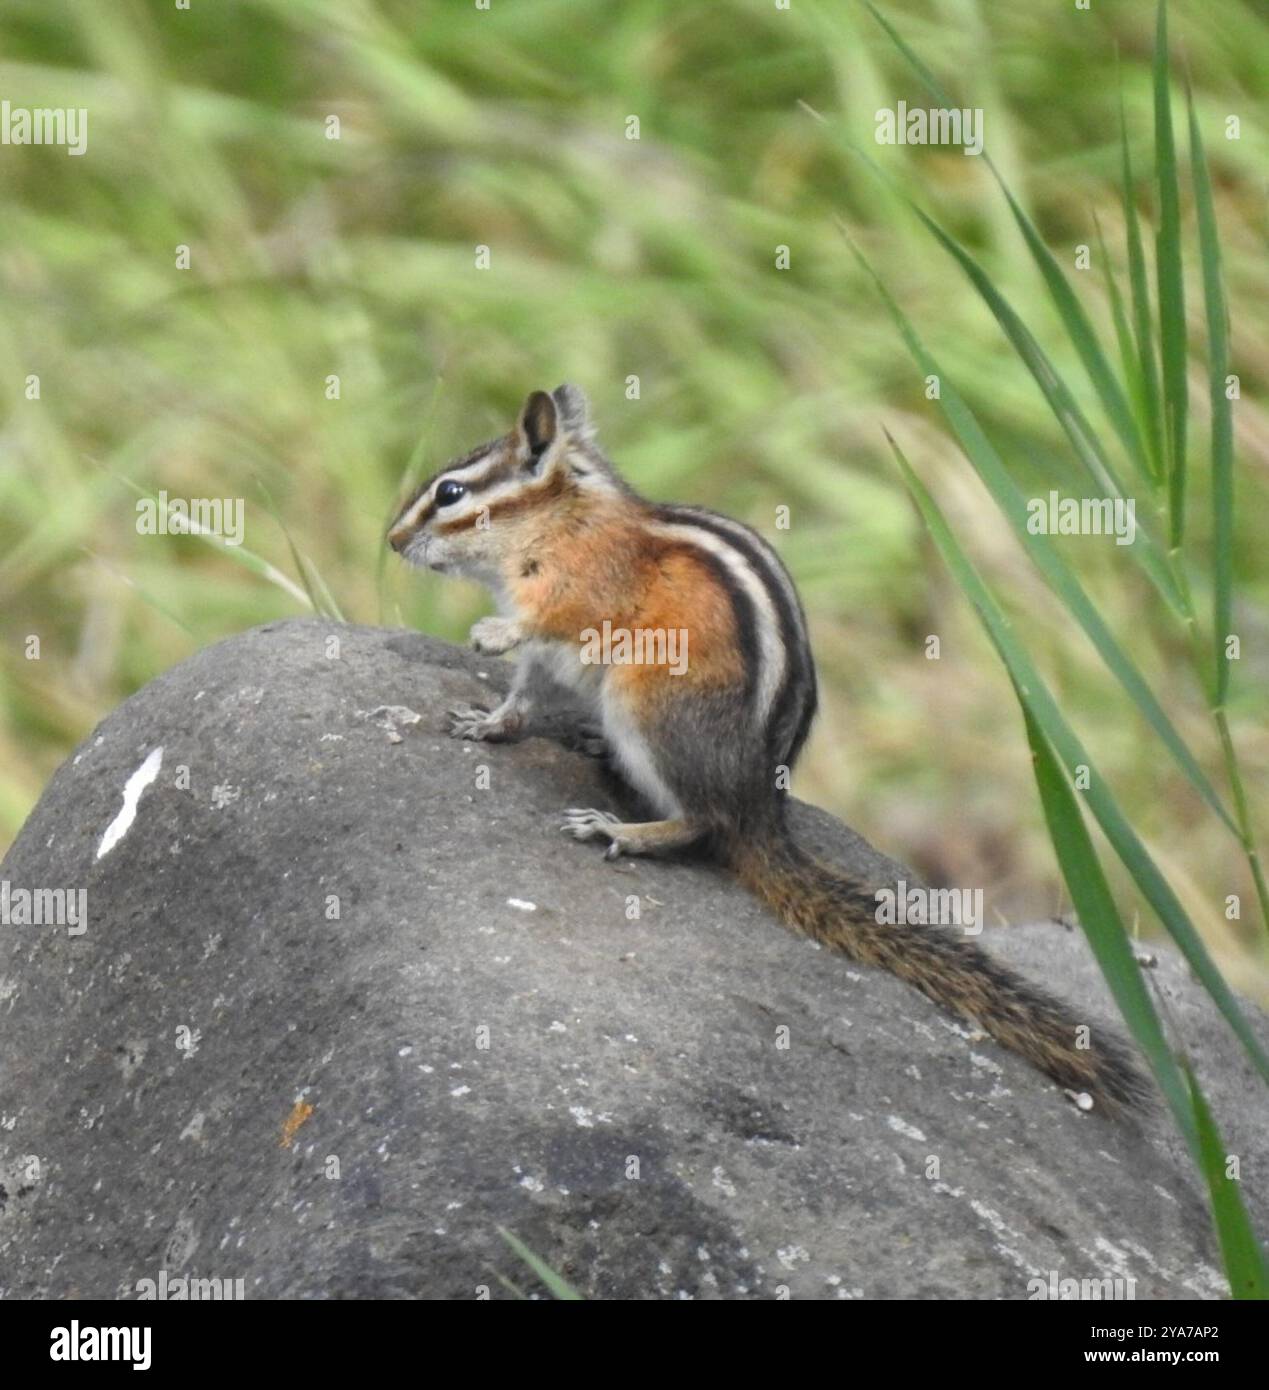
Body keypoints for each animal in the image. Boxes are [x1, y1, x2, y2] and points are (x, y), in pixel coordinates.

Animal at [388, 384, 1149, 1115]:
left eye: (449, 493)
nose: (392, 540)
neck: (563, 518)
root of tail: (759, 806)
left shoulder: (580, 591)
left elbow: (545, 624)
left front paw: (489, 635)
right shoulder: (547, 649)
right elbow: (523, 694)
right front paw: (487, 723)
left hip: (647, 703)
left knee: (702, 823)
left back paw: (623, 830)